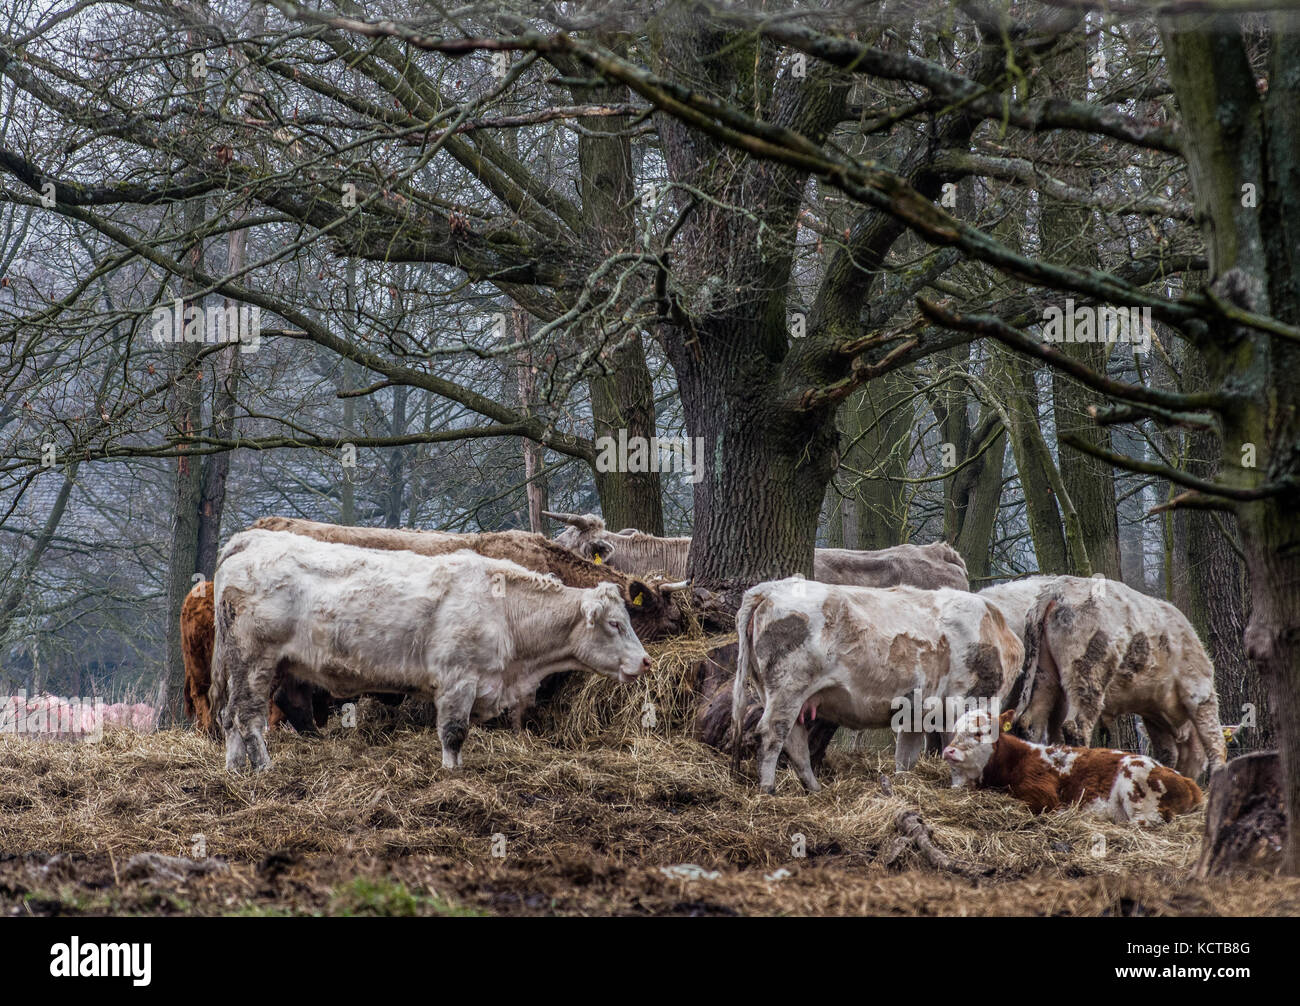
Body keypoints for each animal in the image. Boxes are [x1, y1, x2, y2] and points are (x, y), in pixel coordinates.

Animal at [211, 530, 651, 773]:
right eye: (616, 624)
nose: (646, 661)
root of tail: (251, 540)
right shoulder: (458, 680)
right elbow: (453, 733)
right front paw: (451, 775)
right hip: (255, 661)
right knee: (248, 718)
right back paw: (264, 769)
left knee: (229, 716)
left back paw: (235, 771)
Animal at [730, 577, 1024, 793]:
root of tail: (769, 588)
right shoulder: (967, 700)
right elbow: (958, 745)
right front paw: (960, 789)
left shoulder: (918, 712)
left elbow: (906, 757)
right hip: (788, 688)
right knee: (772, 734)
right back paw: (768, 789)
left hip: (780, 693)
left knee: (795, 742)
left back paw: (814, 789)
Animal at [944, 708, 1203, 824]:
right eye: (955, 730)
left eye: (979, 732)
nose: (949, 750)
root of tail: (1187, 781)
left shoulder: (1042, 796)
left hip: (1137, 790)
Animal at [978, 576, 1226, 777]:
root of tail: (1056, 589)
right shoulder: (1199, 692)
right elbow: (1215, 743)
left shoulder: (1153, 715)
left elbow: (1167, 753)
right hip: (1087, 674)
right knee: (1076, 726)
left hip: (1044, 674)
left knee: (1031, 722)